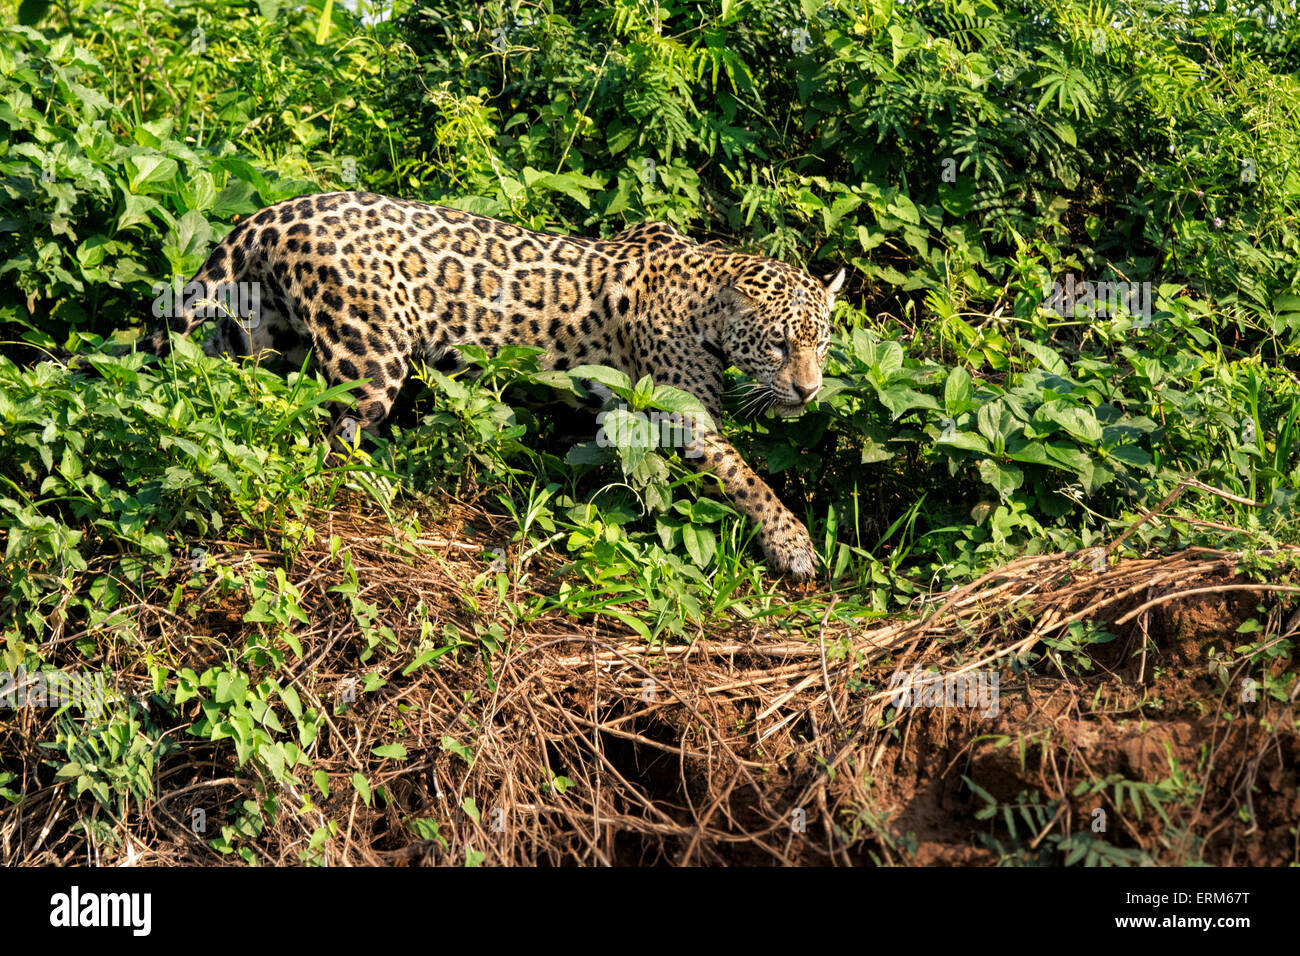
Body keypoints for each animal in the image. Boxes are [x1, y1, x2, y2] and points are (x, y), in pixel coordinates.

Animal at [141, 191, 845, 579]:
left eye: (821, 343)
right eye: (779, 344)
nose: (809, 392)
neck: (706, 298)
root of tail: (272, 212)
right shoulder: (680, 413)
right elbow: (743, 476)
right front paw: (793, 546)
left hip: (255, 331)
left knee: (232, 389)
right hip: (370, 355)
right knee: (334, 440)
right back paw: (377, 492)